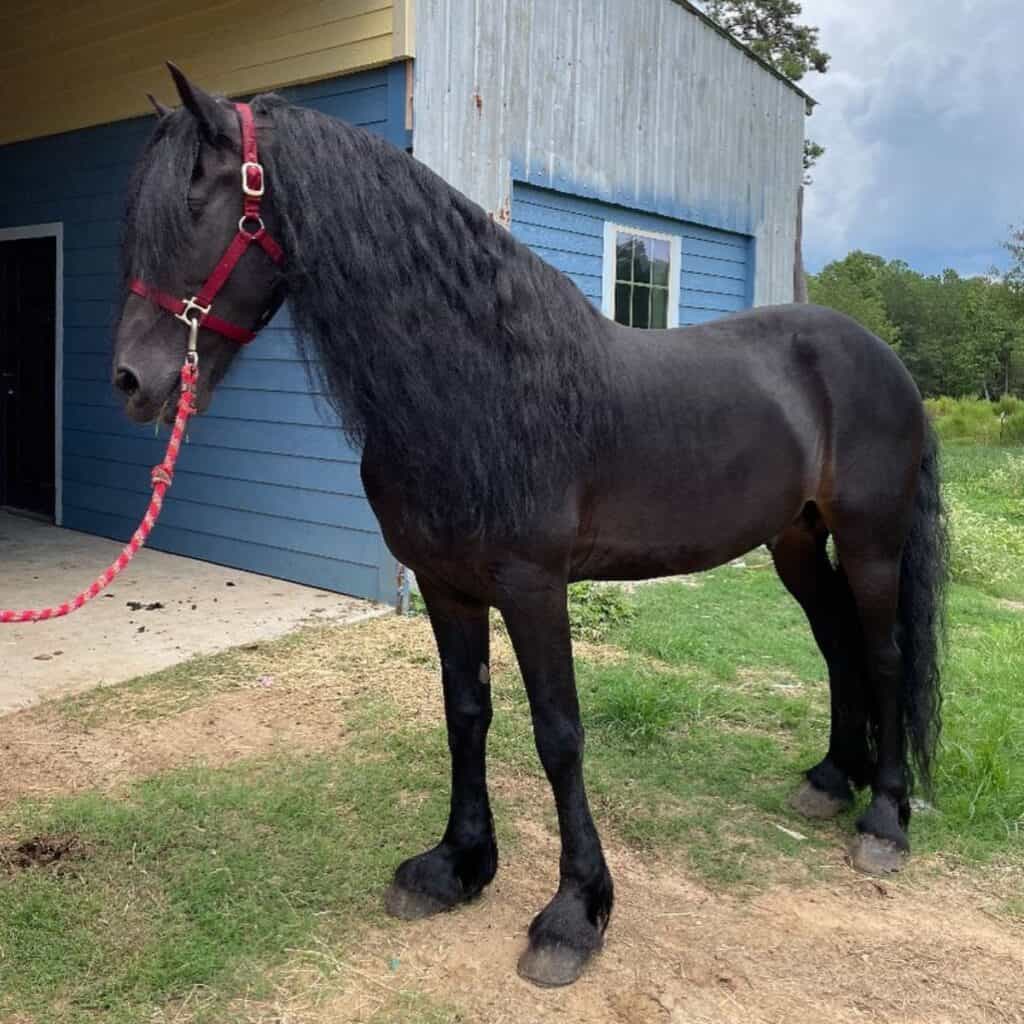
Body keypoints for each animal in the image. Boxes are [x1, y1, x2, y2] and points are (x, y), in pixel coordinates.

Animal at [112, 65, 948, 987]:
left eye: (201, 202)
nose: (134, 382)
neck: (482, 384)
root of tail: (883, 360)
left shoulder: (534, 586)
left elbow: (559, 736)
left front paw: (574, 915)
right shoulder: (446, 586)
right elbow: (466, 712)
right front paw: (456, 866)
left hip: (872, 542)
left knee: (883, 654)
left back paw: (884, 819)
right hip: (796, 540)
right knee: (837, 643)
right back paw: (832, 780)